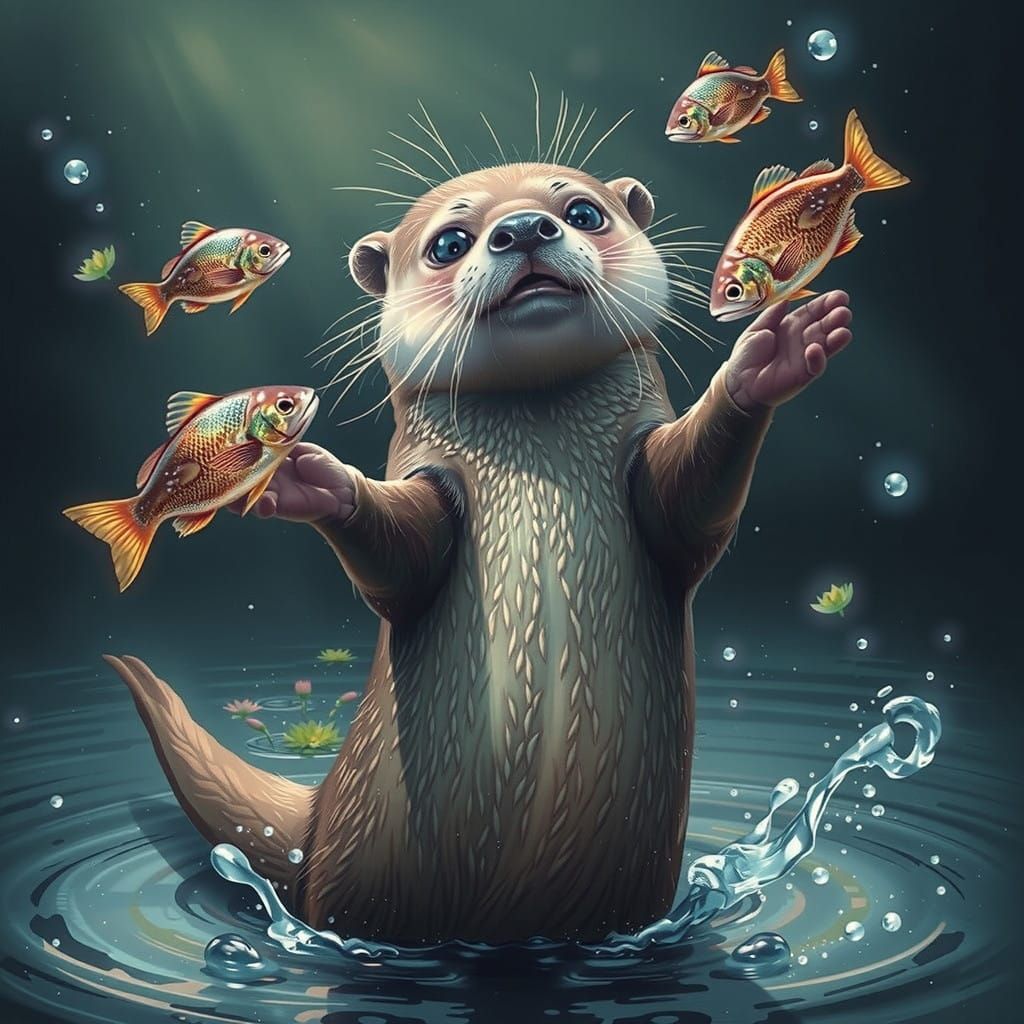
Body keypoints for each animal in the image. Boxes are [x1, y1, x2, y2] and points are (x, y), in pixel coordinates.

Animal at [106, 160, 853, 944]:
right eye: (449, 243)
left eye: (583, 212)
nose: (523, 228)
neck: (538, 461)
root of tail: (313, 824)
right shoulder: (428, 491)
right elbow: (402, 560)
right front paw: (318, 482)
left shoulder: (653, 479)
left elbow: (691, 503)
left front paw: (765, 360)